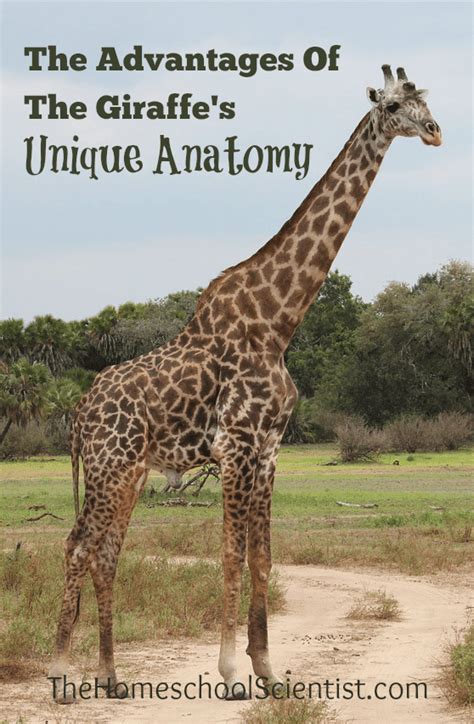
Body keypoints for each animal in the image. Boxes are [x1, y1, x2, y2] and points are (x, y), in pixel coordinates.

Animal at [50, 66, 441, 702]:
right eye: (390, 105)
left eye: (424, 99)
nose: (434, 131)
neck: (278, 322)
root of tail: (80, 411)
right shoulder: (233, 444)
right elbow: (231, 555)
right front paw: (232, 674)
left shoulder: (269, 448)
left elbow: (262, 557)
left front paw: (268, 671)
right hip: (109, 466)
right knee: (79, 545)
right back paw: (60, 675)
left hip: (130, 472)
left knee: (105, 551)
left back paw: (110, 678)